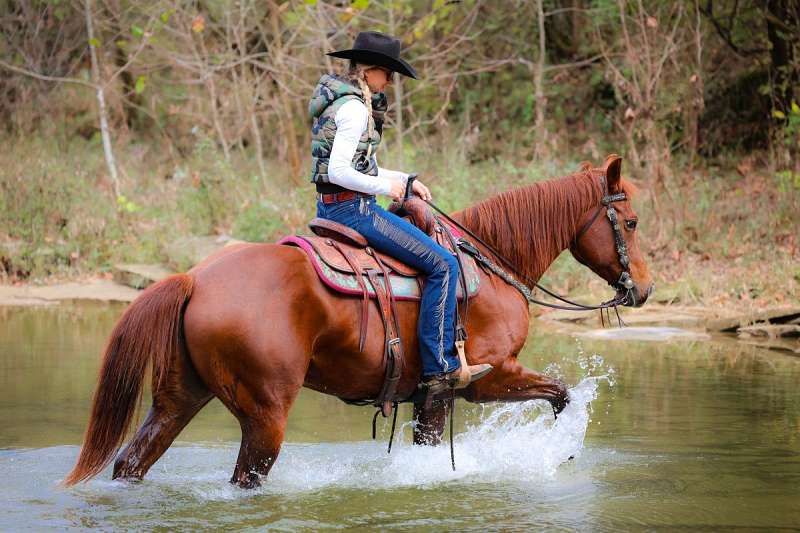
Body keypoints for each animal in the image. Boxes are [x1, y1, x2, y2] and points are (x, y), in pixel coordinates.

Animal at [64, 154, 653, 488]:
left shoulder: (433, 396)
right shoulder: (489, 377)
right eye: (630, 221)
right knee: (243, 478)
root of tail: (195, 278)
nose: (643, 289)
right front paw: (560, 449)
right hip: (264, 415)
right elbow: (562, 394)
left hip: (180, 397)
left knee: (132, 461)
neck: (490, 261)